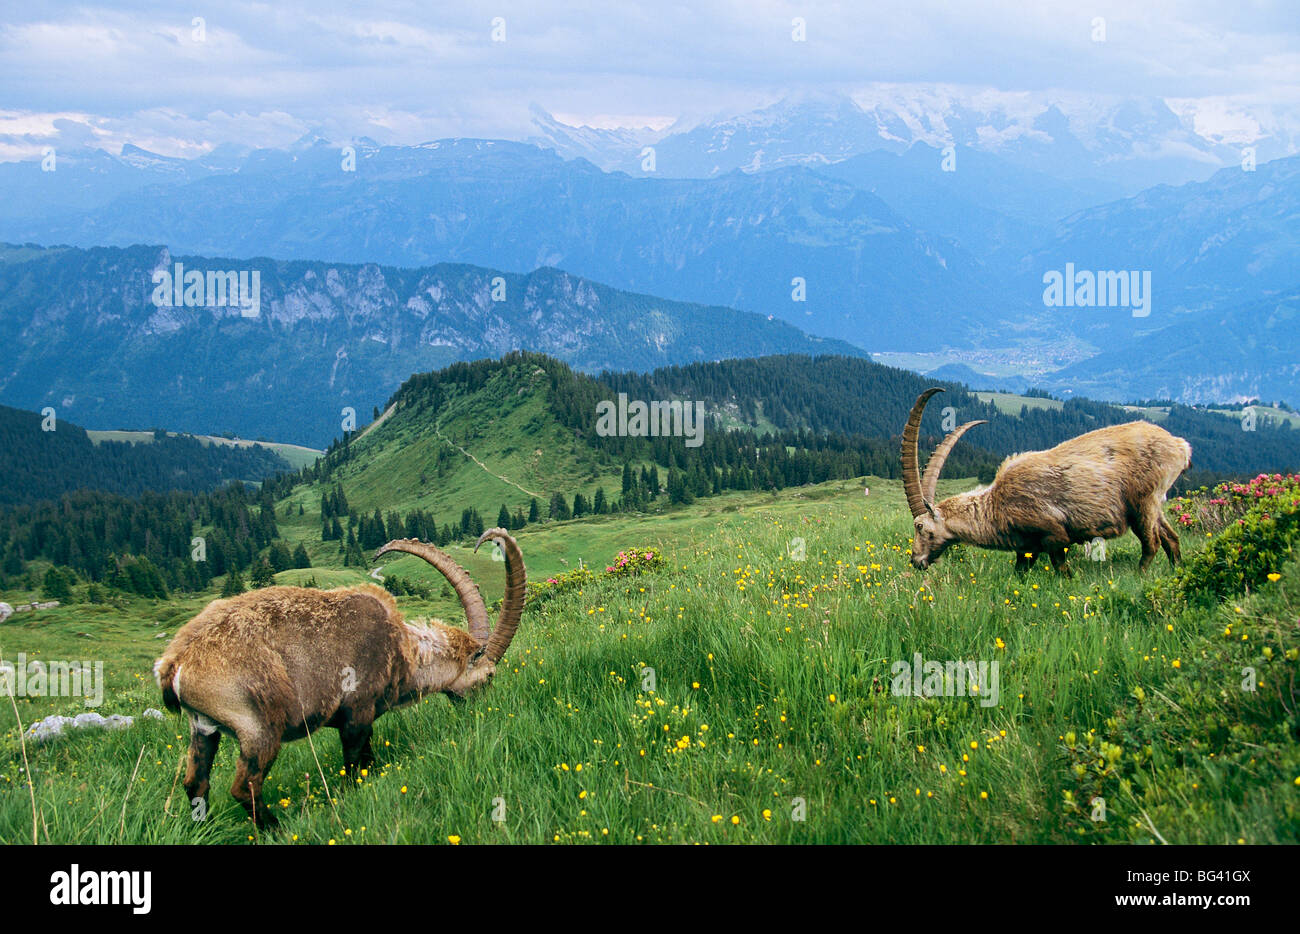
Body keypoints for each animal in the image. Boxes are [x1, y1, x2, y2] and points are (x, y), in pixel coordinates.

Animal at [154, 528, 524, 827]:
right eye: (488, 676)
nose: (482, 712)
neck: (401, 649)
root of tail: (177, 662)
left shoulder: (366, 718)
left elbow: (368, 759)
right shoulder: (356, 714)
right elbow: (353, 763)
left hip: (203, 727)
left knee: (195, 783)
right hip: (257, 729)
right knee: (244, 786)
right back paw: (276, 829)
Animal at [901, 388, 1191, 575]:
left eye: (921, 527)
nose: (916, 561)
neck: (995, 506)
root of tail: (1179, 446)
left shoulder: (1055, 536)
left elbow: (1063, 571)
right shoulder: (1027, 549)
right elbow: (1020, 574)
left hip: (1143, 502)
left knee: (1152, 543)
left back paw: (1140, 576)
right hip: (1155, 504)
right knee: (1171, 538)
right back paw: (1176, 571)